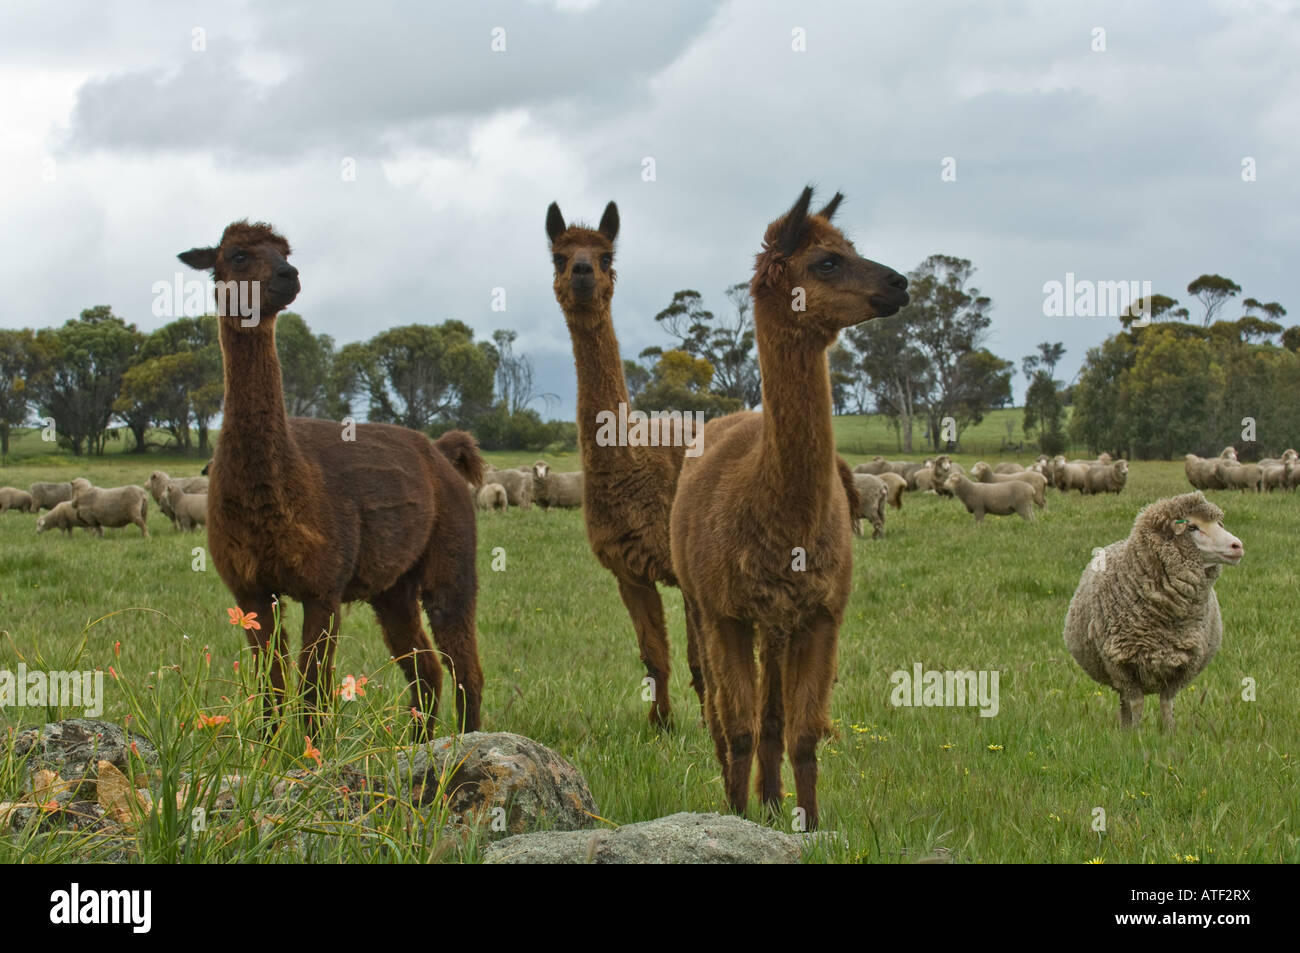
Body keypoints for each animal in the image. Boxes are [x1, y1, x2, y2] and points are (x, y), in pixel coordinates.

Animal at [1063, 492, 1242, 730]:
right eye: (1192, 527)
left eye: (1218, 524)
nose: (1237, 546)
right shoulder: (1122, 664)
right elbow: (1137, 704)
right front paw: (1136, 734)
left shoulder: (1181, 666)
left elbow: (1167, 704)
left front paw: (1168, 732)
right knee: (1125, 703)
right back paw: (1125, 730)